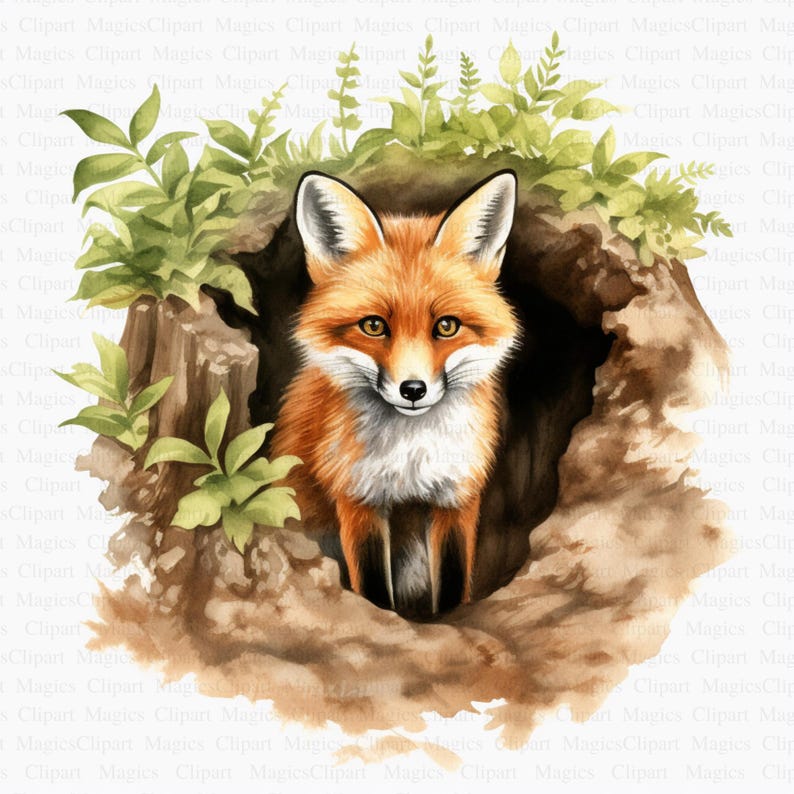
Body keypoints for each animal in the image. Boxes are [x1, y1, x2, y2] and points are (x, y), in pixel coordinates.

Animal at [269, 169, 520, 613]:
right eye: (373, 326)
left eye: (446, 326)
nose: (413, 389)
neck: (411, 454)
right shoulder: (358, 498)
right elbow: (373, 590)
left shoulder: (457, 497)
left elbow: (453, 585)